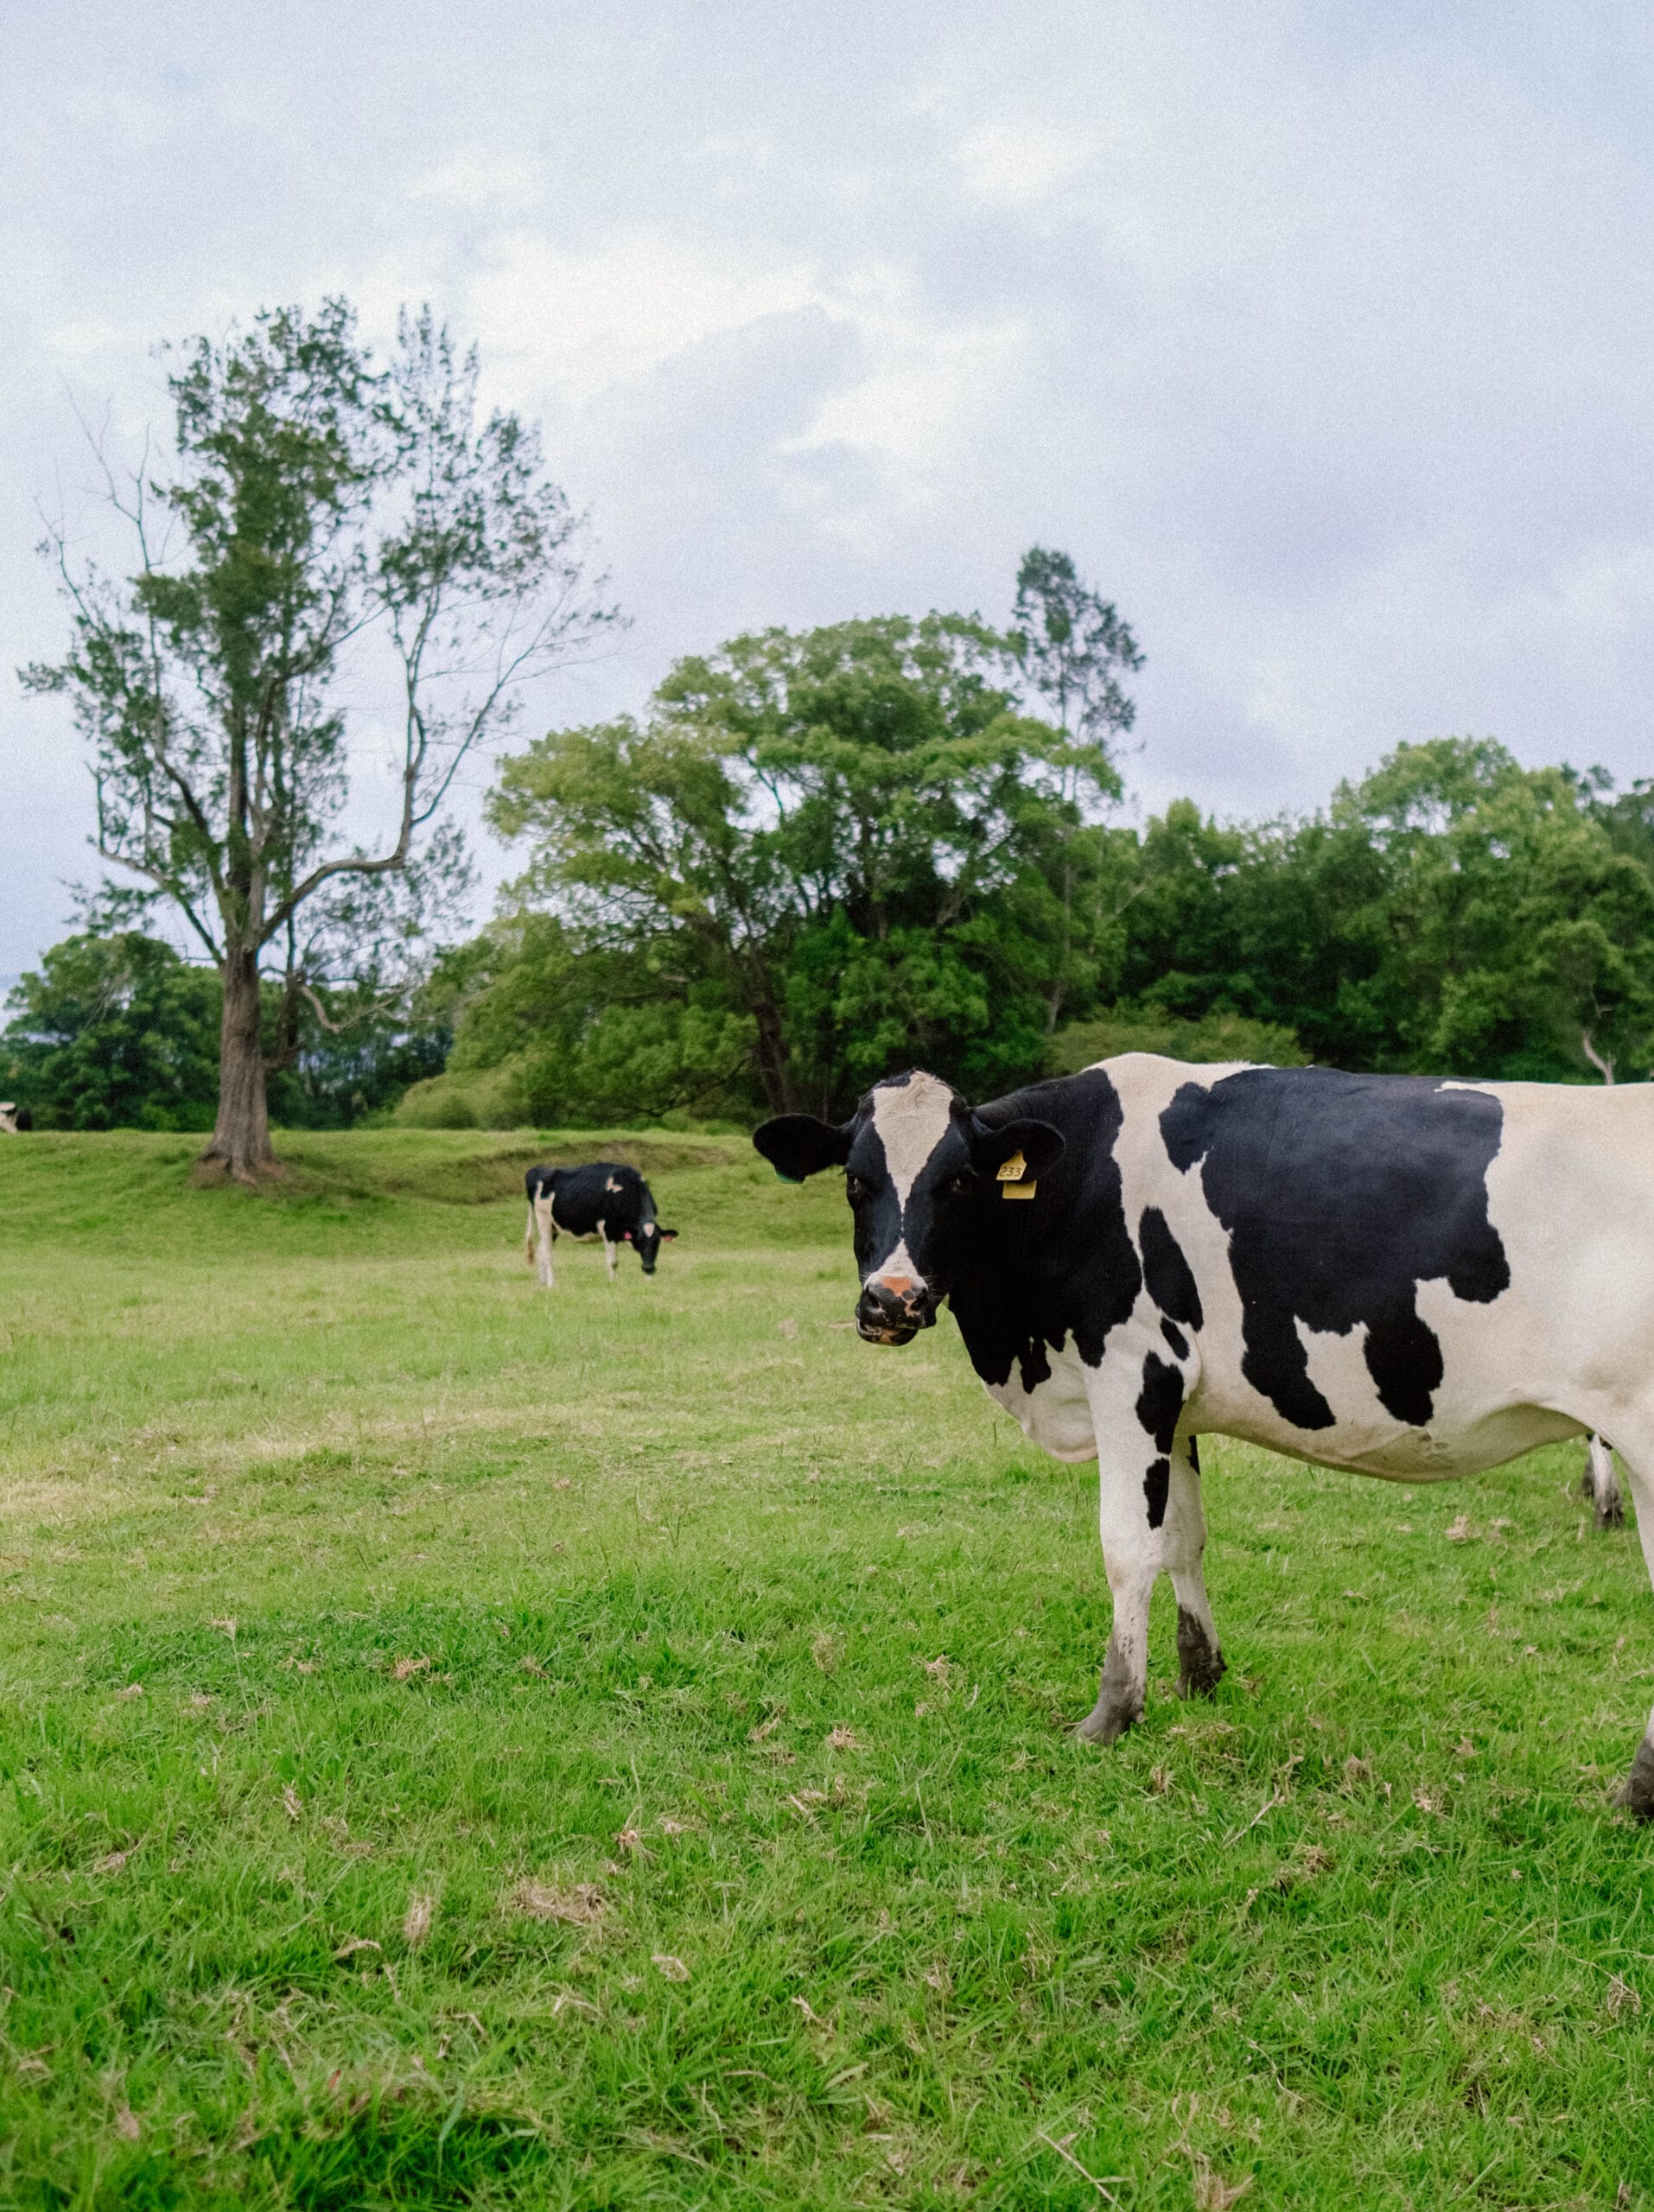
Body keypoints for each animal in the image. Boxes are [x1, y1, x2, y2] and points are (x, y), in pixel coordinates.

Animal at [523, 1162, 677, 1289]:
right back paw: (551, 1284)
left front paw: (648, 1282)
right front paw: (612, 1284)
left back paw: (543, 1282)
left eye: (657, 1242)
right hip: (544, 1220)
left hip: (553, 1228)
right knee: (547, 1252)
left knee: (541, 1250)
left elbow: (646, 1256)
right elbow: (613, 1262)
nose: (649, 1268)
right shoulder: (608, 1230)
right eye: (639, 1240)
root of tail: (538, 1169)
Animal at [753, 1057, 1654, 1819]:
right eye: (855, 1180)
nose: (892, 1300)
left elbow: (1127, 1545)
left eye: (961, 1180)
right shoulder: (1177, 1403)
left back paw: (1636, 1791)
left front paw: (1113, 1712)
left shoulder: (1133, 1375)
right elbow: (1183, 1537)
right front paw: (1200, 1675)